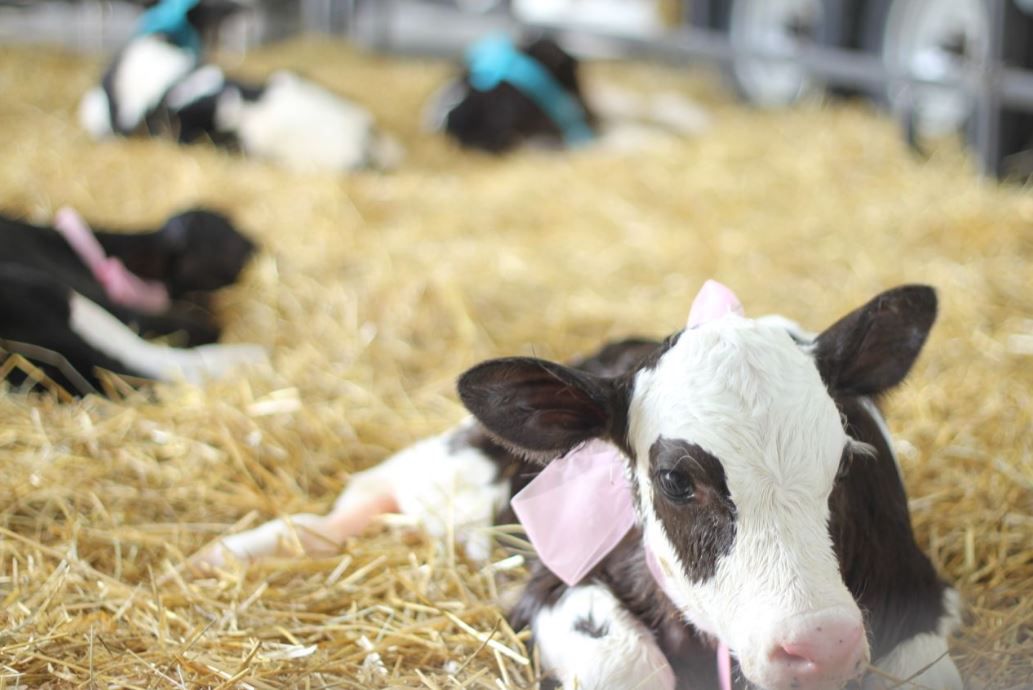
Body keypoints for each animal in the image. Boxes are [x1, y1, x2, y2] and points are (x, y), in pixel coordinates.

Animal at [192, 282, 962, 690]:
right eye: (676, 480)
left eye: (845, 460)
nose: (820, 644)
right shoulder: (550, 590)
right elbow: (625, 666)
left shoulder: (915, 592)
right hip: (461, 463)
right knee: (371, 487)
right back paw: (233, 553)